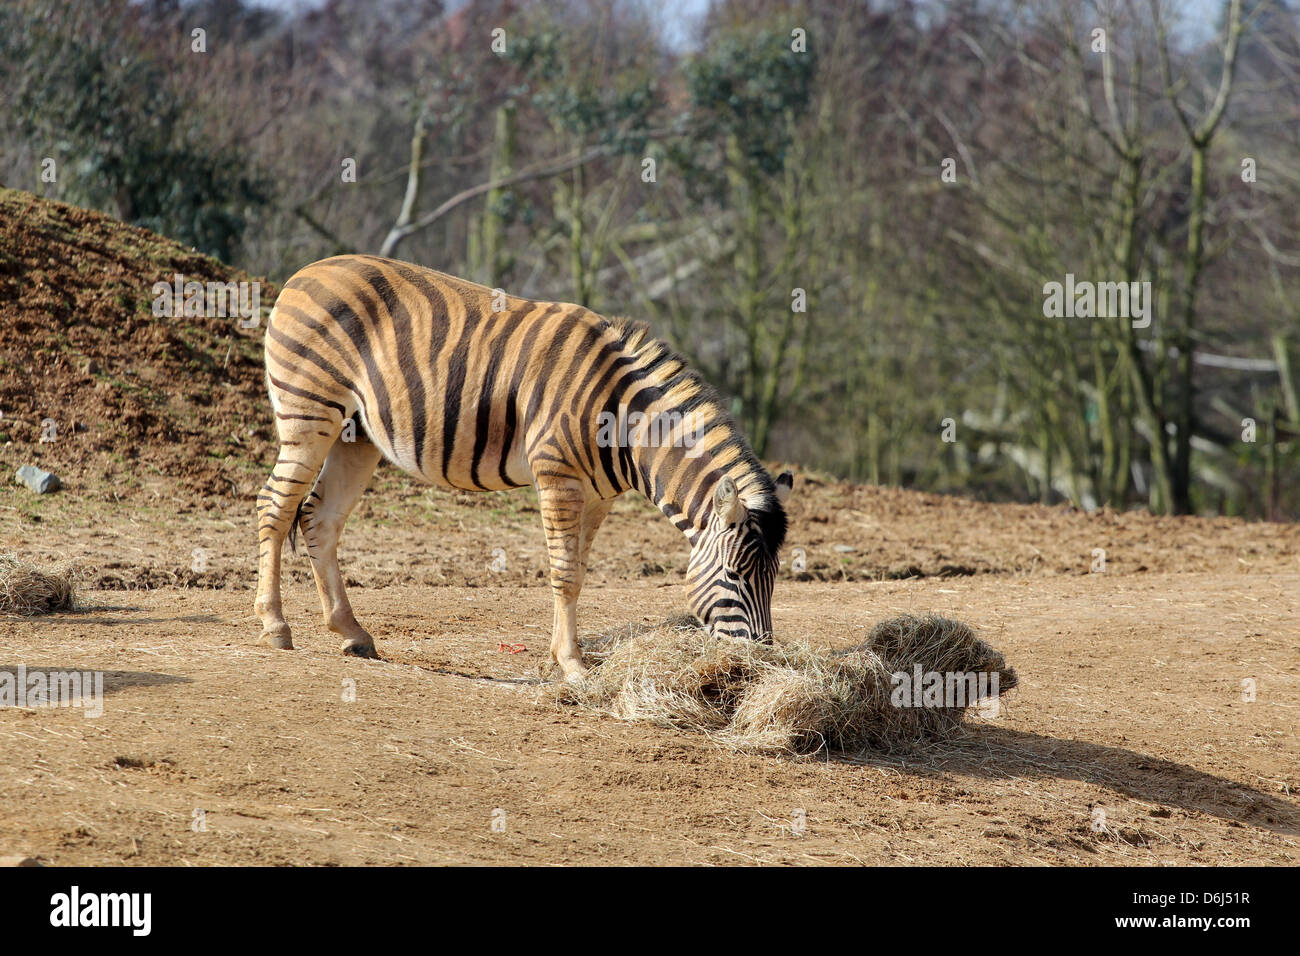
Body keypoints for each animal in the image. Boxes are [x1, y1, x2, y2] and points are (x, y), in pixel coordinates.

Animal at [255, 254, 794, 680]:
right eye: (734, 575)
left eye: (773, 579)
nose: (760, 661)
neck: (621, 420)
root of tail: (305, 272)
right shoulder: (557, 476)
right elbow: (565, 573)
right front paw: (573, 667)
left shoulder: (598, 496)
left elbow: (578, 569)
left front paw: (563, 657)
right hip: (310, 411)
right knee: (274, 506)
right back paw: (275, 626)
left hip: (358, 434)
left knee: (318, 518)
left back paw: (351, 632)